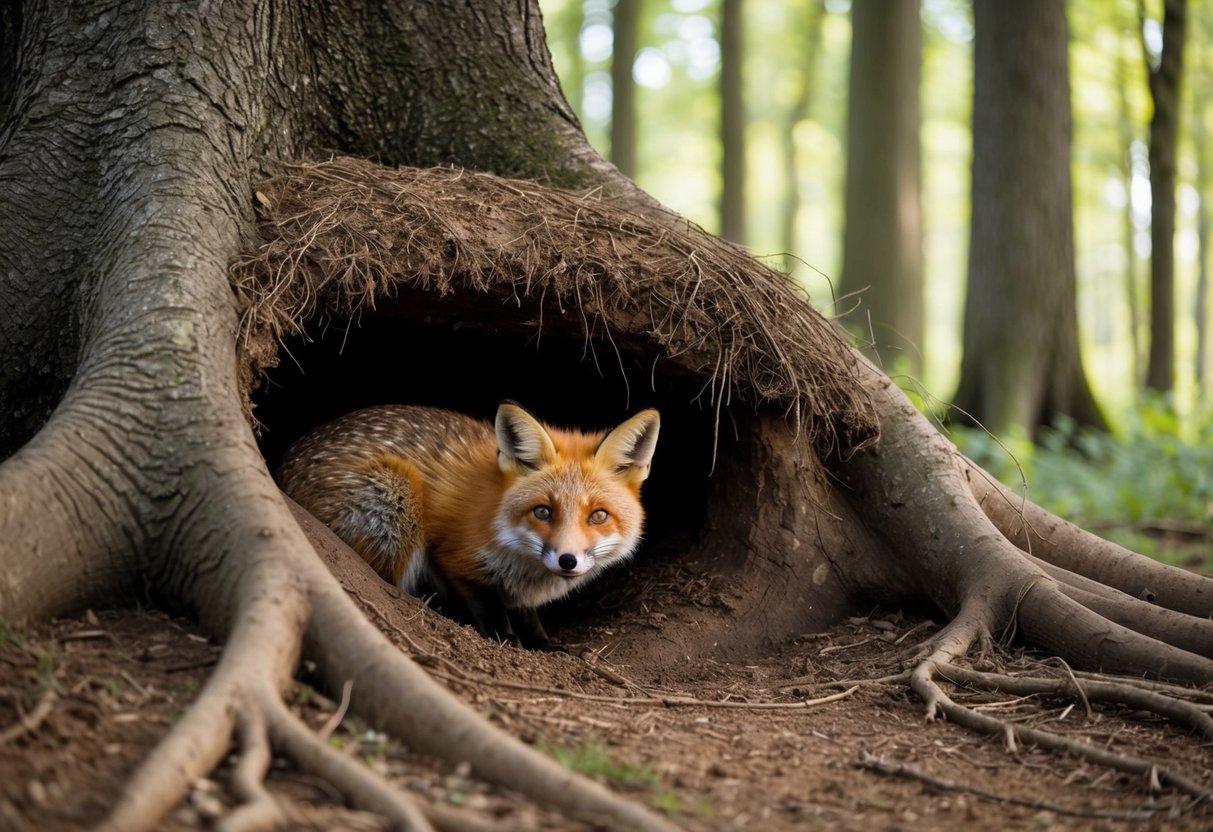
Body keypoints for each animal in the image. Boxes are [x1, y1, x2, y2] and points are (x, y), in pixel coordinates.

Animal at [277, 402, 660, 650]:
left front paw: (545, 644)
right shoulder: (451, 556)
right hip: (399, 501)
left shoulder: (521, 594)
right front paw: (503, 636)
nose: (568, 560)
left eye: (598, 515)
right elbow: (485, 600)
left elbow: (528, 615)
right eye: (543, 512)